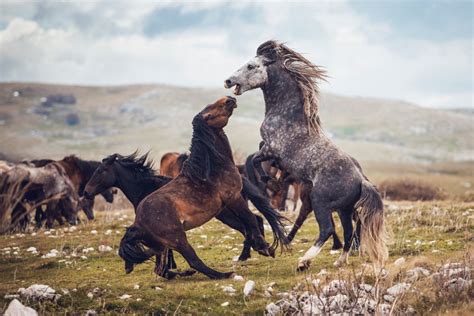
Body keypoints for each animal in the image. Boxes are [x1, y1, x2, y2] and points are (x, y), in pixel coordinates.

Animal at [118, 96, 288, 278]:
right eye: (209, 115)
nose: (229, 99)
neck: (213, 170)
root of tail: (137, 224)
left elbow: (248, 223)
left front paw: (260, 246)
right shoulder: (233, 198)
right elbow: (250, 220)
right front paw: (265, 247)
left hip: (160, 246)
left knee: (162, 268)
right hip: (177, 238)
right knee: (193, 260)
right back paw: (223, 274)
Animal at [224, 40, 386, 270]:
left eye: (251, 66)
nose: (228, 81)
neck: (286, 114)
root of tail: (361, 180)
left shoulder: (271, 148)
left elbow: (254, 159)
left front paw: (269, 180)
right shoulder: (271, 151)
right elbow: (258, 159)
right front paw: (274, 177)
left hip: (320, 201)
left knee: (327, 229)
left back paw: (304, 261)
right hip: (344, 209)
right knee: (347, 232)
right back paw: (339, 260)